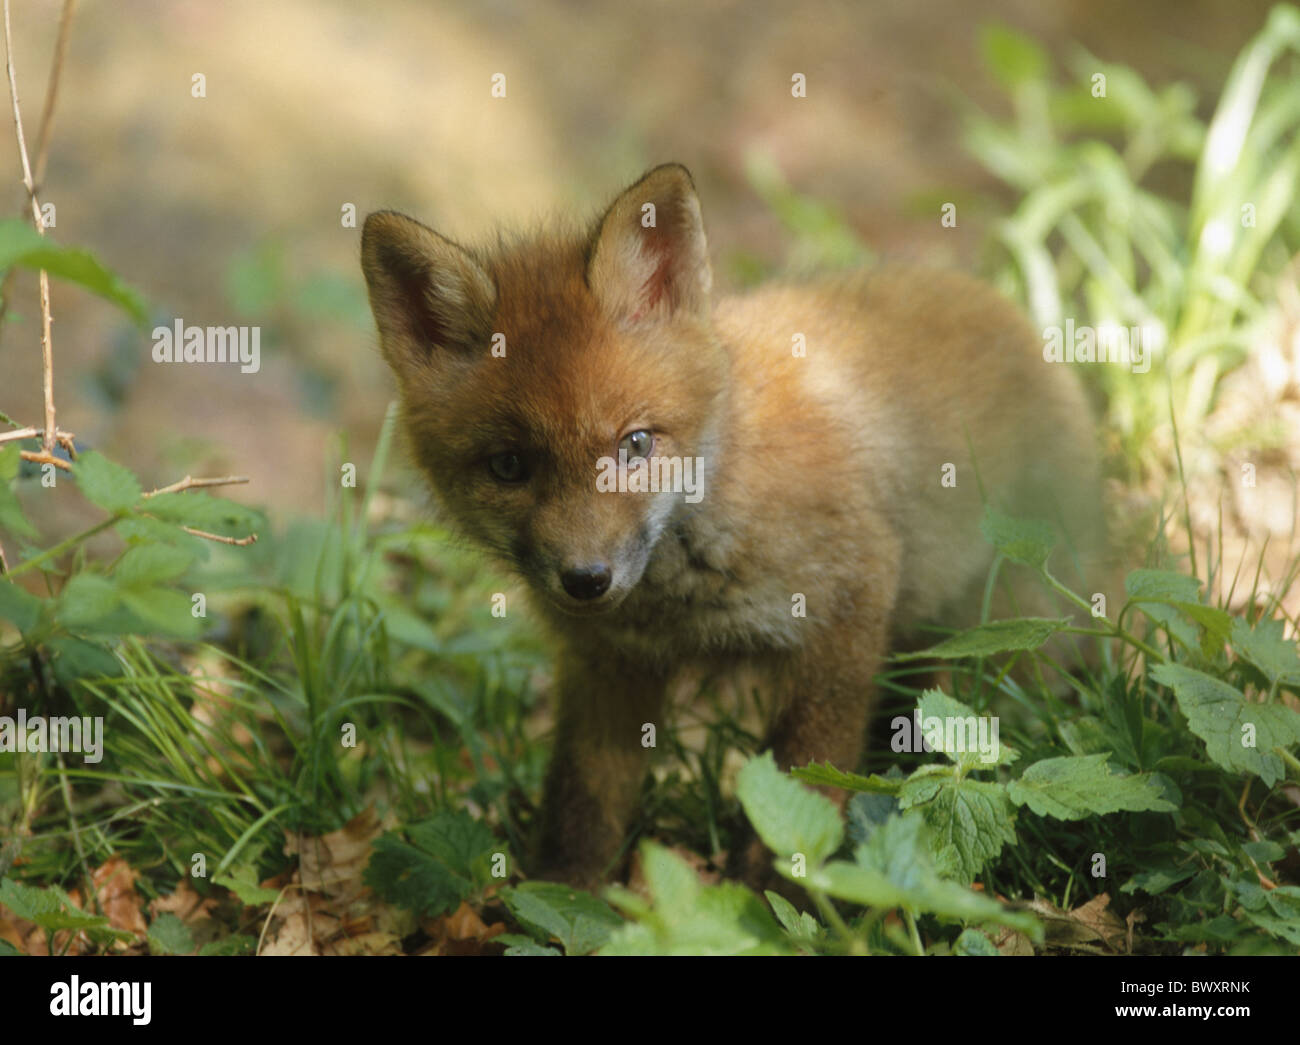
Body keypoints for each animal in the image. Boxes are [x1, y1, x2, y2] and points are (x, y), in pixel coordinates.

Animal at [360, 163, 1108, 890]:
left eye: (635, 444)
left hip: (1003, 638)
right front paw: (562, 895)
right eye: (510, 466)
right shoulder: (608, 664)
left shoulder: (848, 606)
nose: (585, 580)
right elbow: (584, 798)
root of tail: (1006, 308)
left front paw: (781, 900)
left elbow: (809, 781)